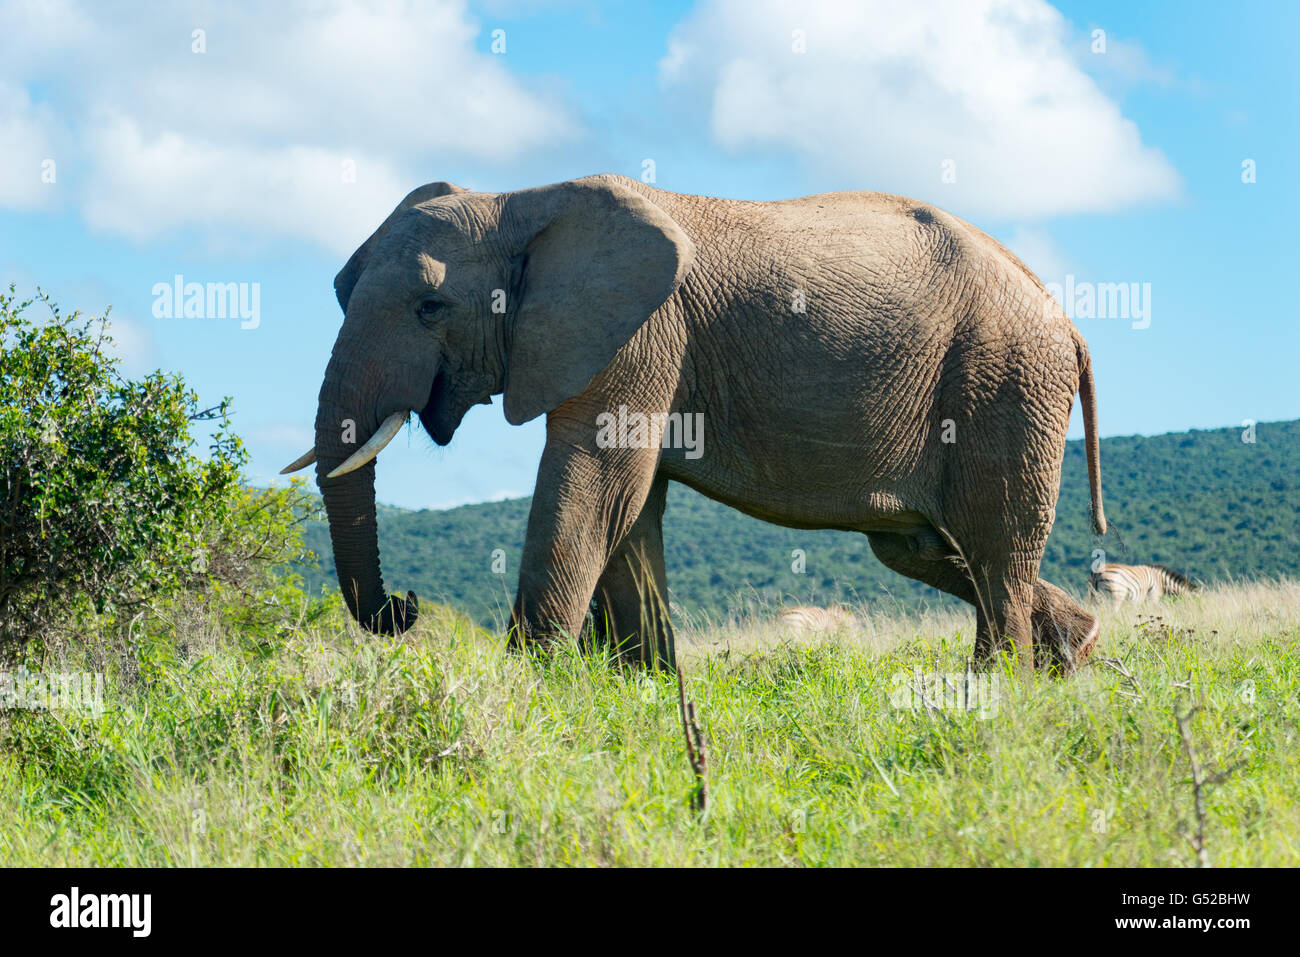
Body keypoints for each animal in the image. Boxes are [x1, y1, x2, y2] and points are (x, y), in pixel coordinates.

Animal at [283, 174, 1107, 675]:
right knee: (929, 547)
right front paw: (639, 689)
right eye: (340, 291)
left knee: (995, 543)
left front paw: (530, 686)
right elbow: (629, 506)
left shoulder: (643, 335)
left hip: (1003, 381)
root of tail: (1066, 319)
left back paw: (994, 692)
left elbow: (592, 485)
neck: (521, 201)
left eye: (431, 307)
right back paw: (1073, 656)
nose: (405, 607)